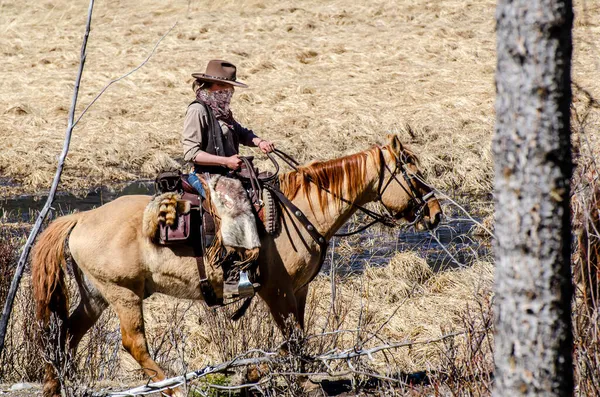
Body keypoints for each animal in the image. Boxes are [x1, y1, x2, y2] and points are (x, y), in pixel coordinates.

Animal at [31, 135, 440, 394]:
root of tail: (81, 219)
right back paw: (172, 387)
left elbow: (298, 337)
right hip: (124, 294)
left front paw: (299, 379)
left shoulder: (299, 290)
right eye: (412, 171)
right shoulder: (276, 290)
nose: (435, 212)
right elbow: (291, 337)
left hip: (96, 296)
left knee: (64, 335)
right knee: (134, 343)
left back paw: (55, 386)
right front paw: (262, 374)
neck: (300, 212)